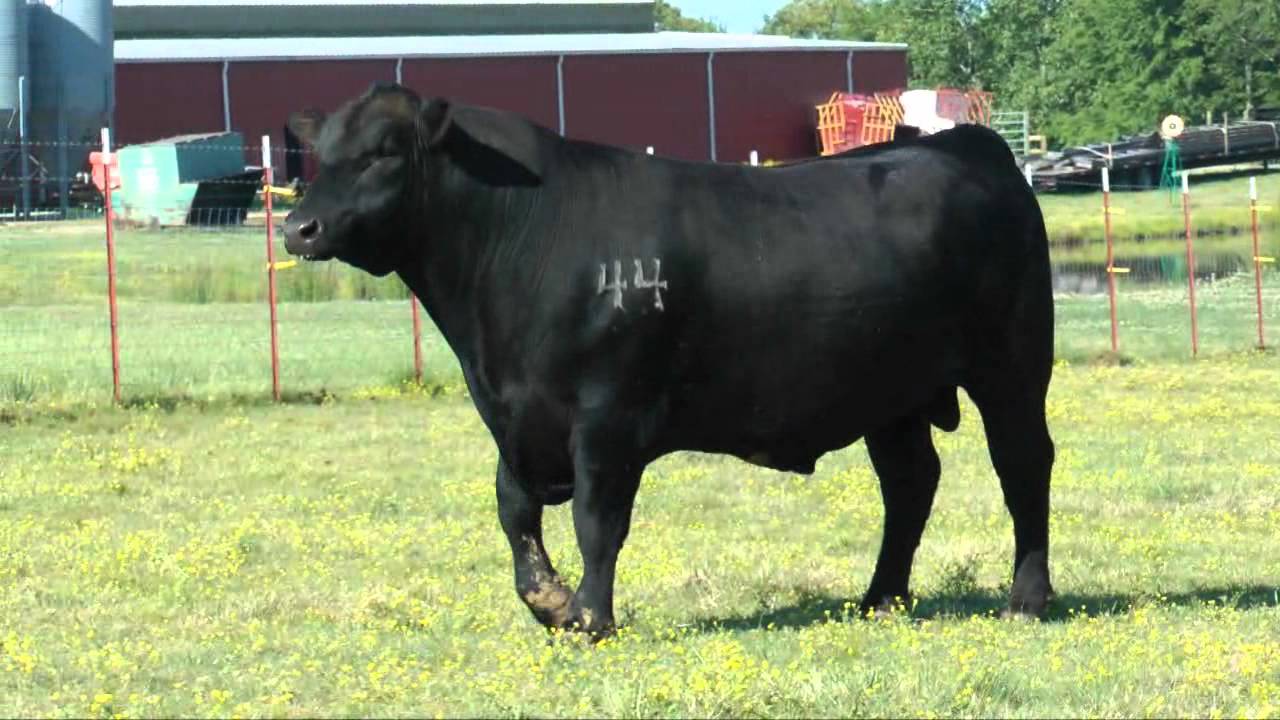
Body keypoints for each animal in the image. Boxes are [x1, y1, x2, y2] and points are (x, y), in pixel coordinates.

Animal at [283, 83, 1056, 638]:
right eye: (320, 156)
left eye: (383, 152)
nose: (299, 227)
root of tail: (968, 143)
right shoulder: (513, 414)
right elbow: (514, 511)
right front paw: (549, 601)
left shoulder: (608, 415)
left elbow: (597, 519)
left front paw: (590, 617)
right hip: (891, 392)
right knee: (910, 482)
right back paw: (880, 599)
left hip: (1011, 367)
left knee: (1022, 466)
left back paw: (1026, 597)